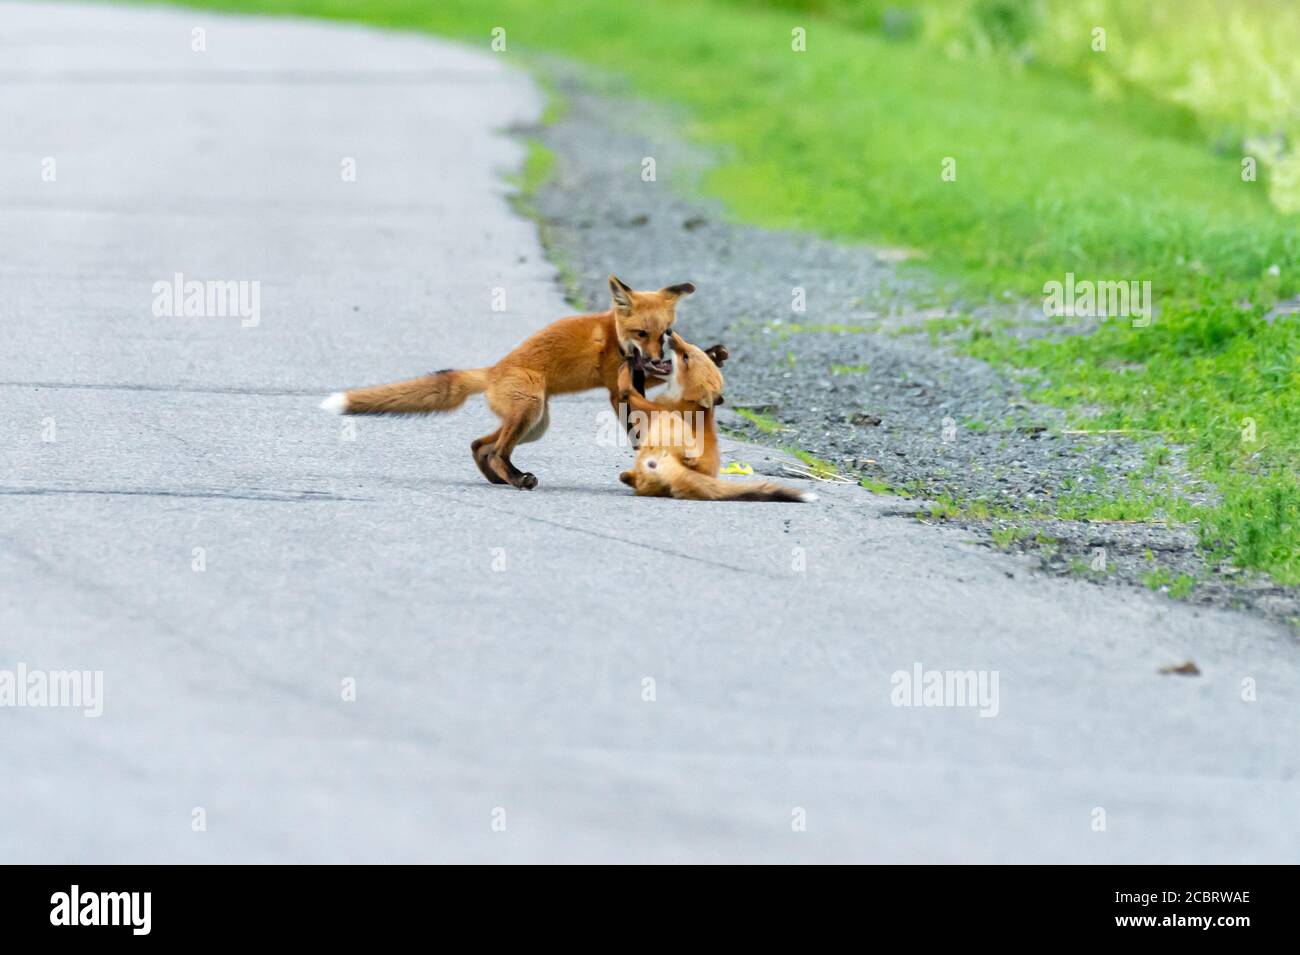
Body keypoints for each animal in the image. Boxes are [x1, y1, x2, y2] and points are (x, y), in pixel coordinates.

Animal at [321, 276, 718, 490]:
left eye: (664, 332)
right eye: (641, 333)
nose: (655, 355)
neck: (612, 333)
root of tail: (493, 370)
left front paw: (711, 354)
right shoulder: (615, 384)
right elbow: (636, 415)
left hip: (535, 422)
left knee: (482, 445)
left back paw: (503, 478)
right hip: (531, 409)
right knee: (496, 450)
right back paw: (516, 480)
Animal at [617, 333, 815, 503]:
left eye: (686, 357)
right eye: (690, 348)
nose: (670, 332)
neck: (678, 400)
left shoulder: (655, 409)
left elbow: (628, 390)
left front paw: (626, 367)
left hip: (672, 429)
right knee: (630, 477)